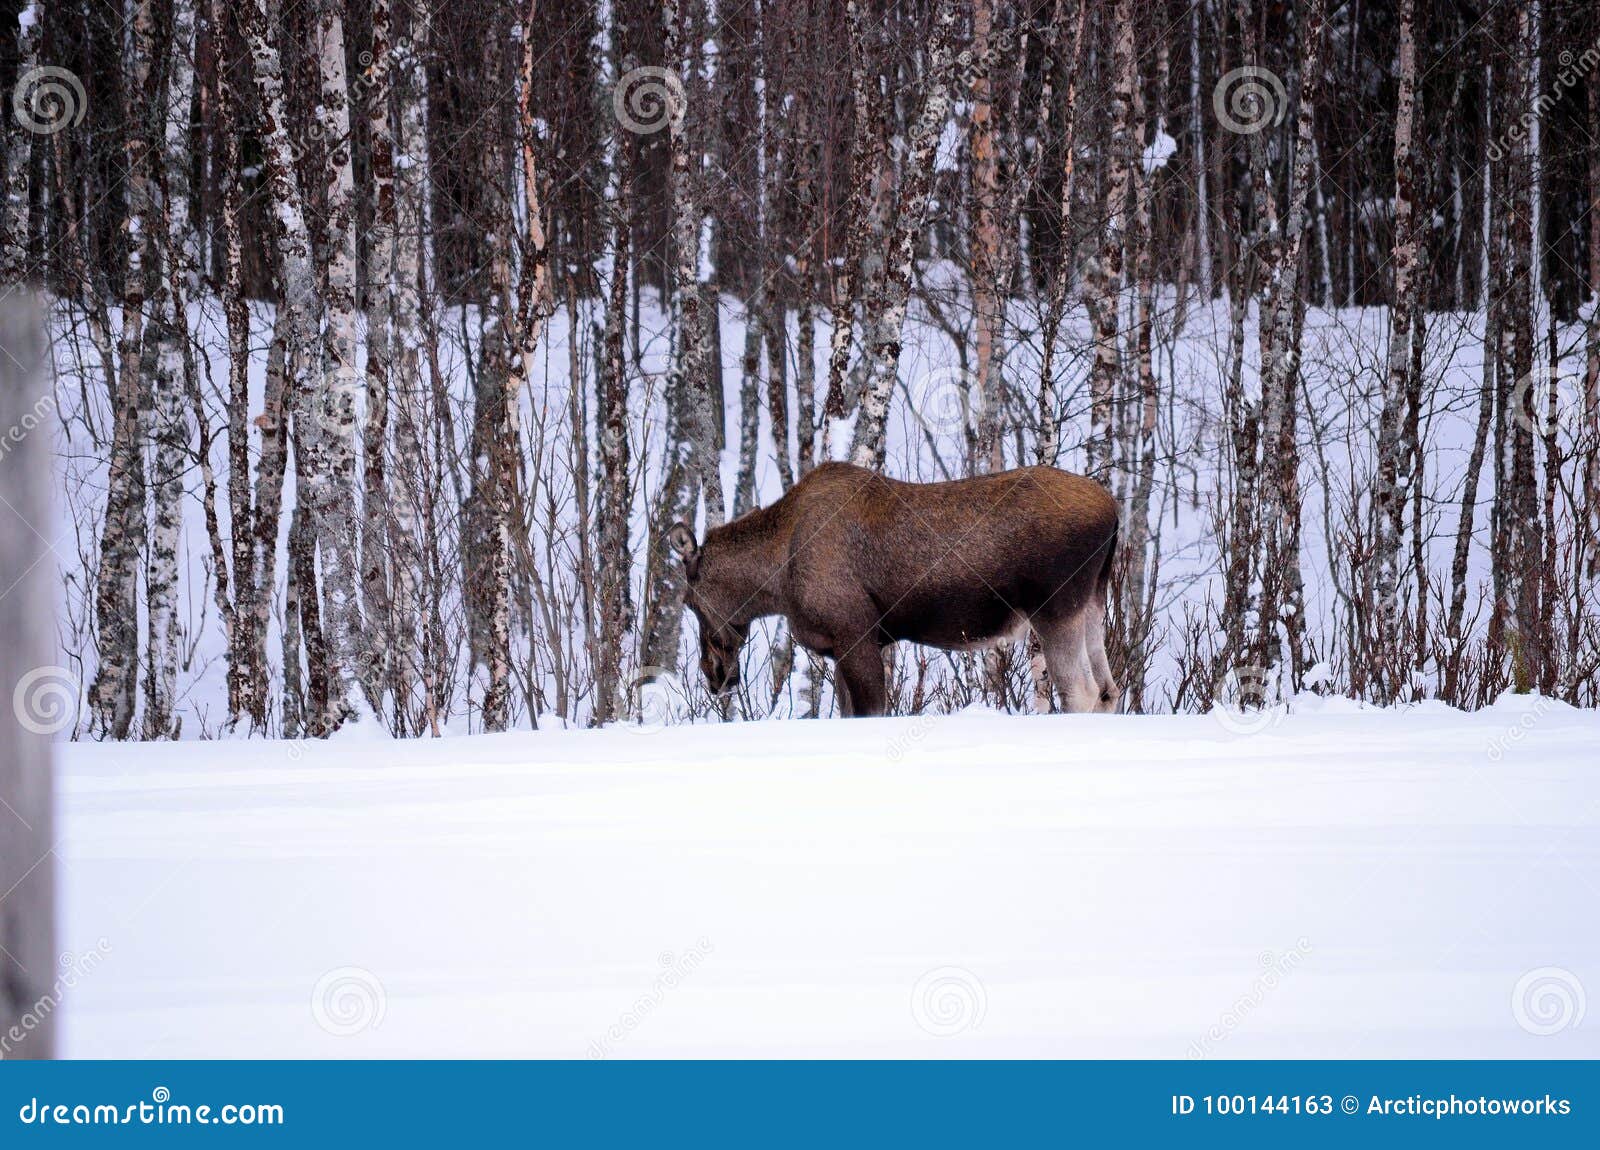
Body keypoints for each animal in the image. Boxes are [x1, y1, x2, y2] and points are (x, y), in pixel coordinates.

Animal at [666, 461, 1120, 717]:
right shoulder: (851, 645)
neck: (778, 575)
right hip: (1093, 604)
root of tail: (1114, 512)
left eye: (689, 601)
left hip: (1055, 607)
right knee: (1107, 691)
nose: (714, 674)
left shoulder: (855, 634)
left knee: (1080, 692)